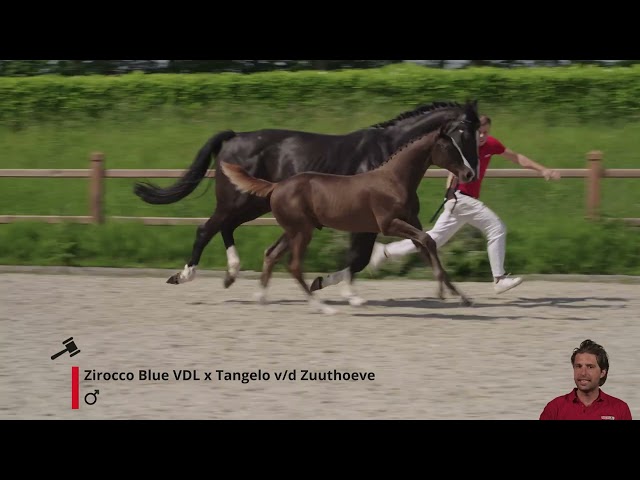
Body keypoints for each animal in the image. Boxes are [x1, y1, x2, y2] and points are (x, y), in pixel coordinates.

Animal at [133, 100, 480, 291]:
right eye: (462, 132)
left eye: (479, 132)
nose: (471, 173)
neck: (387, 155)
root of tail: (233, 138)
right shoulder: (369, 222)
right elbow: (358, 260)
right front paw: (320, 282)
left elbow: (403, 248)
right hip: (236, 201)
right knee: (206, 229)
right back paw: (183, 275)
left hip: (253, 202)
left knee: (225, 228)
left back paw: (231, 273)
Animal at [219, 100, 480, 314]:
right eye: (454, 142)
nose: (470, 173)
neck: (393, 177)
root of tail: (276, 186)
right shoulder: (387, 224)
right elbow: (376, 254)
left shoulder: (409, 221)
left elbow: (427, 245)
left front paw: (460, 296)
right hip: (299, 230)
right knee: (289, 263)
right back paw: (320, 306)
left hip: (295, 229)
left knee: (271, 254)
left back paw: (261, 297)